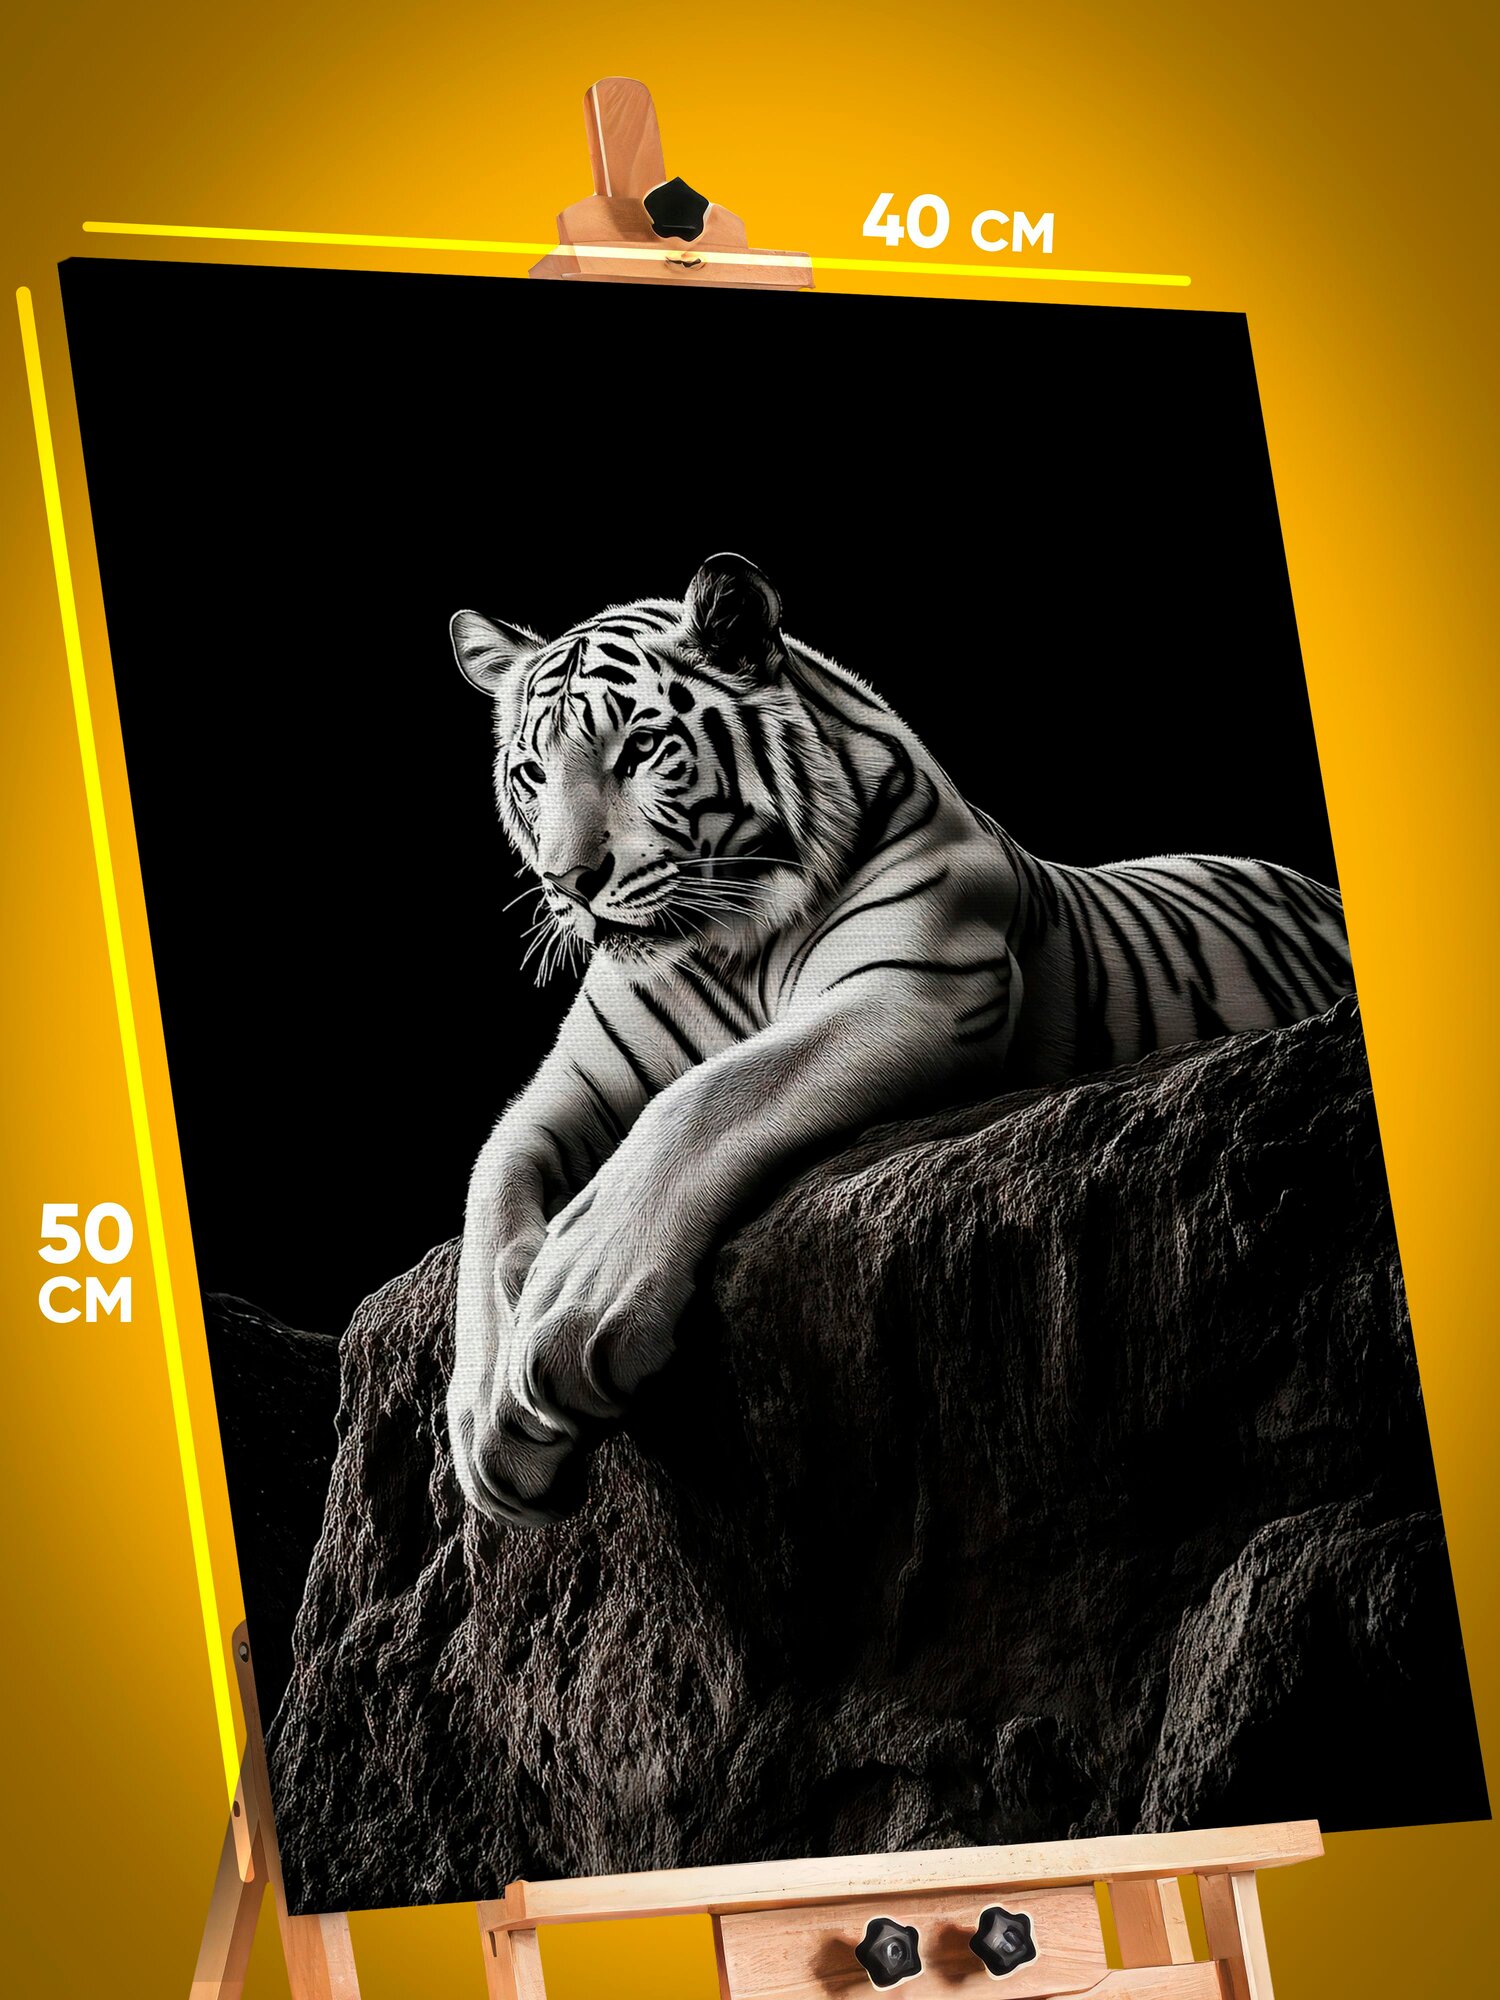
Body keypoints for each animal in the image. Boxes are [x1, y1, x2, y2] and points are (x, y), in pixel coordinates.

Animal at [448, 553, 1353, 1527]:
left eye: (641, 749)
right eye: (531, 773)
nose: (567, 882)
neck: (728, 942)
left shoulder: (916, 983)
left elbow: (708, 1097)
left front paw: (574, 1299)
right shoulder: (574, 1079)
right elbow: (490, 1177)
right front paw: (484, 1417)